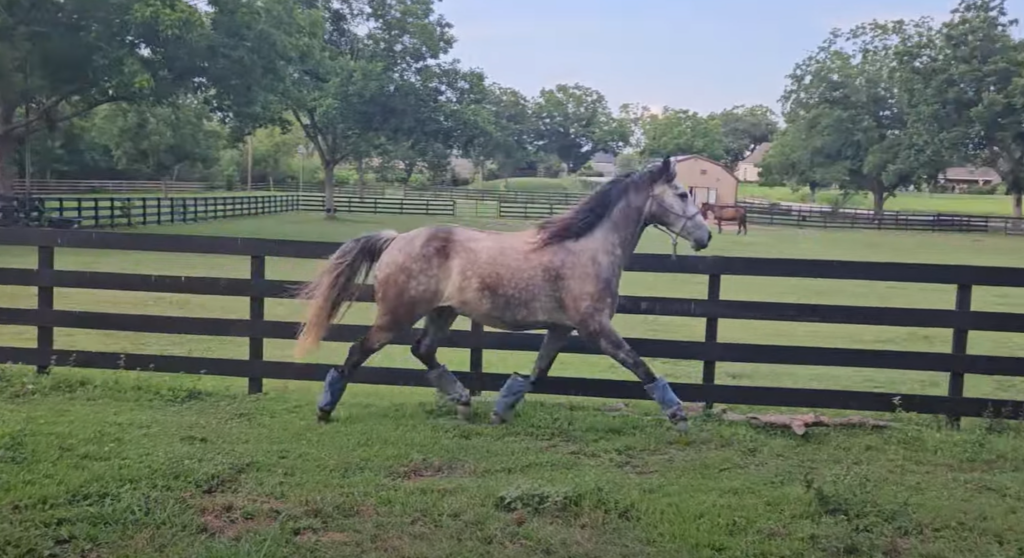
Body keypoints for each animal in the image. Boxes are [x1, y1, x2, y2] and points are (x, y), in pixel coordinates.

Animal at [293, 157, 713, 432]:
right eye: (680, 194)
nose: (706, 236)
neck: (587, 249)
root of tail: (396, 239)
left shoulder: (561, 328)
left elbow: (536, 373)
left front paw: (501, 411)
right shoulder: (595, 327)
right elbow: (640, 365)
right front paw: (678, 416)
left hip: (443, 312)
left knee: (423, 351)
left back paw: (463, 402)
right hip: (396, 315)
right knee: (357, 352)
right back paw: (325, 409)